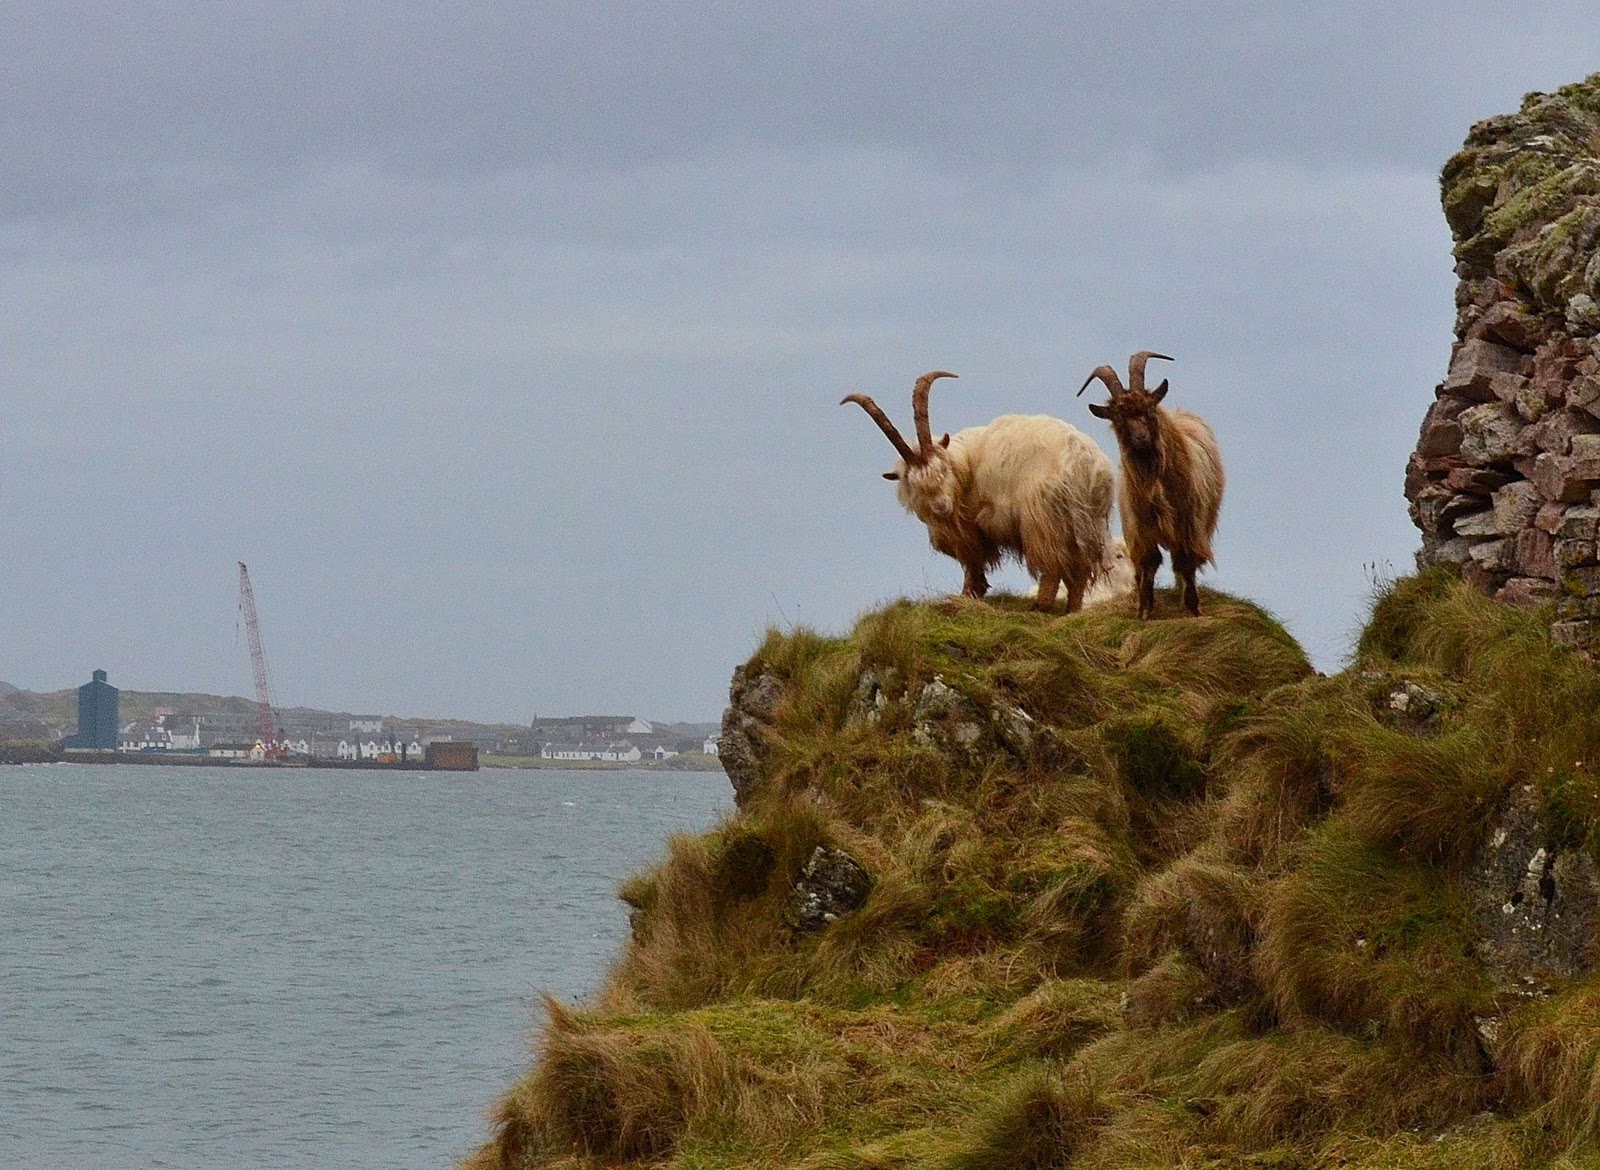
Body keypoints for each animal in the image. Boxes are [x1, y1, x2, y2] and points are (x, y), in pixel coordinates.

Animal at [843, 370, 1114, 613]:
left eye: (943, 470)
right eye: (915, 482)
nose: (942, 508)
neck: (964, 465)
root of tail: (1081, 460)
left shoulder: (969, 529)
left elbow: (972, 562)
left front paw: (967, 596)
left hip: (1042, 518)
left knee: (1052, 564)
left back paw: (1041, 606)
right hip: (1086, 521)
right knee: (1079, 569)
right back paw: (1072, 610)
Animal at [1078, 352, 1224, 619]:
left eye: (1149, 410)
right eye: (1119, 419)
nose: (1141, 438)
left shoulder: (1188, 523)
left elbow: (1185, 561)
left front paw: (1193, 607)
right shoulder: (1142, 527)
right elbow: (1149, 563)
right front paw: (1144, 610)